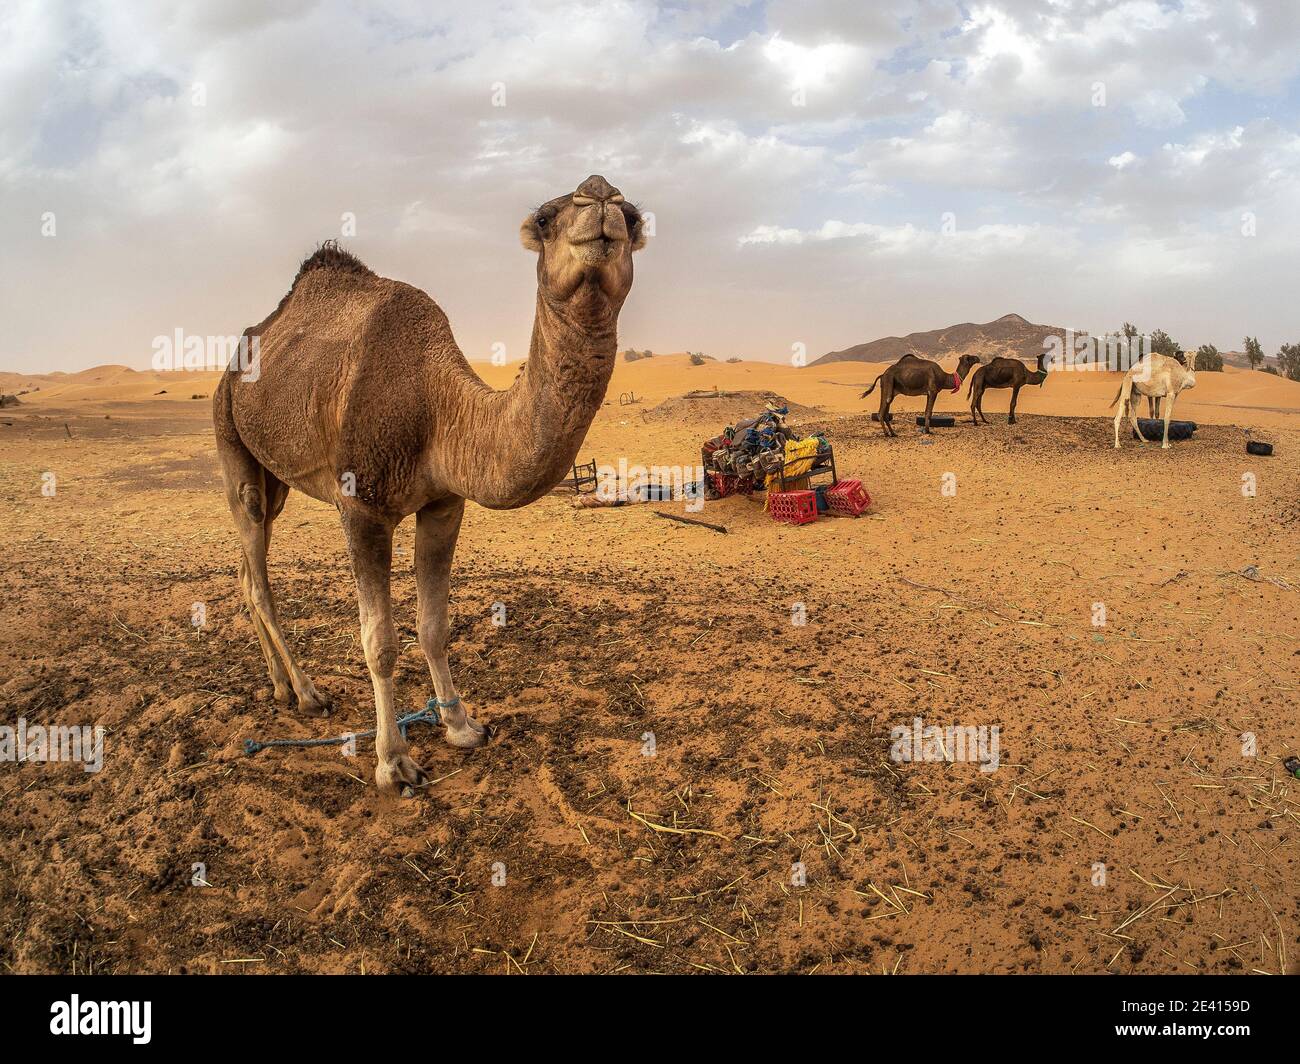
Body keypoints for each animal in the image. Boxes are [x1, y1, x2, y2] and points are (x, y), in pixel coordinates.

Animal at [214, 175, 646, 794]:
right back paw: (309, 693)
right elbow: (380, 642)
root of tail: (239, 354)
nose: (601, 196)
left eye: (634, 218)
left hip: (276, 477)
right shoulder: (362, 508)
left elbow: (434, 627)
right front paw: (394, 762)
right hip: (229, 434)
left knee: (248, 572)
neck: (438, 410)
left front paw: (462, 725)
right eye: (545, 217)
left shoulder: (444, 503)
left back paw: (279, 686)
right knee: (258, 572)